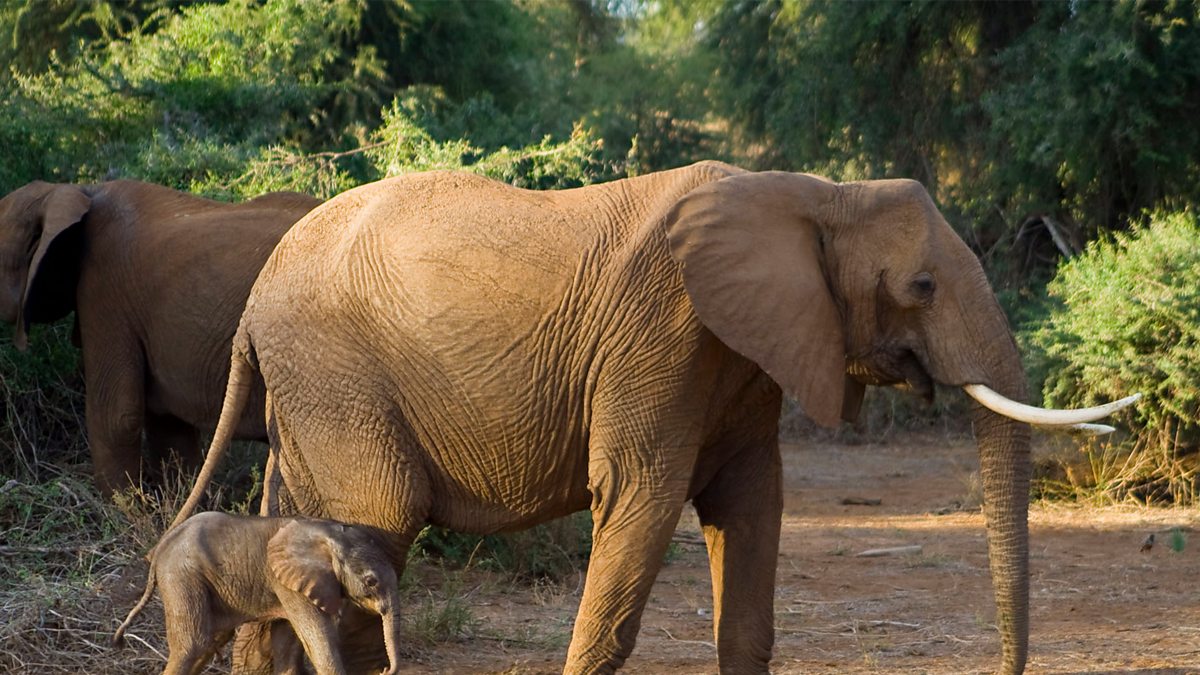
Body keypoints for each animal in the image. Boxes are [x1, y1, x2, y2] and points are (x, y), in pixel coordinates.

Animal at [113, 512, 401, 675]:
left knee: (209, 641)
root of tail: (160, 548)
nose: (385, 670)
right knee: (192, 644)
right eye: (371, 581)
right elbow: (318, 639)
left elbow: (289, 643)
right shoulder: (288, 583)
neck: (326, 531)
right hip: (181, 576)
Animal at [172, 161, 1135, 673]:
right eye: (924, 285)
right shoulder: (664, 333)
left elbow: (751, 510)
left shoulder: (747, 354)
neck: (816, 192)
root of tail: (256, 300)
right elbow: (639, 500)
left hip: (312, 390)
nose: (1002, 664)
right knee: (376, 520)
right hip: (338, 377)